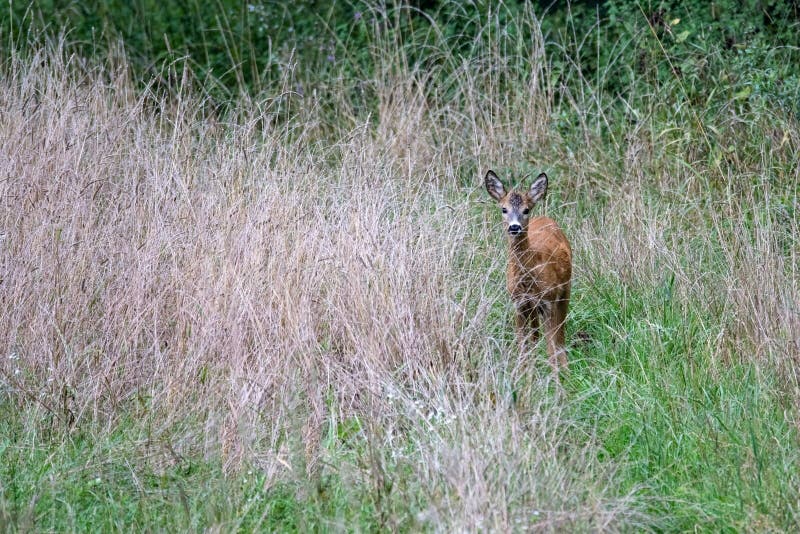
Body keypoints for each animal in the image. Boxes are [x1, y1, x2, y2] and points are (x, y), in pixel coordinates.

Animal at [484, 170, 572, 372]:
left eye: (526, 210)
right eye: (504, 209)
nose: (514, 227)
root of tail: (547, 218)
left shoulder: (548, 300)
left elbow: (551, 346)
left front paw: (556, 376)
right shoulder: (518, 303)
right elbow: (523, 347)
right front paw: (524, 375)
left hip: (565, 291)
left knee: (560, 336)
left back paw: (565, 369)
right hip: (532, 308)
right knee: (535, 338)